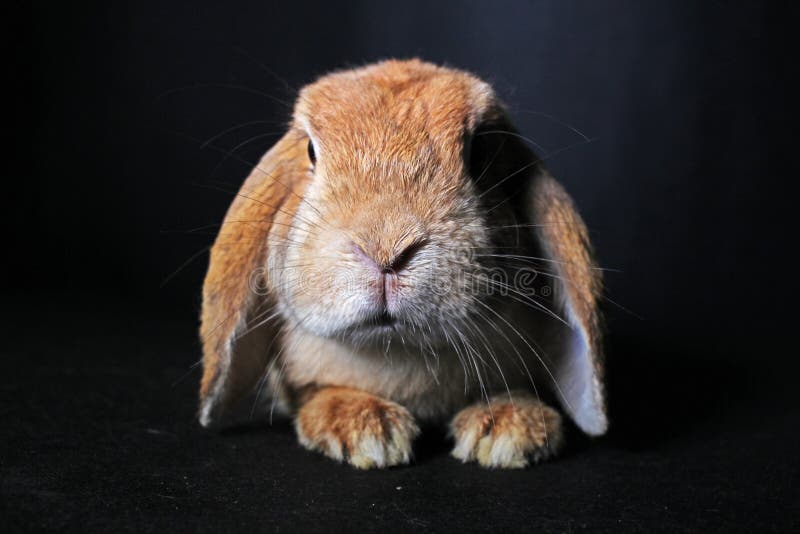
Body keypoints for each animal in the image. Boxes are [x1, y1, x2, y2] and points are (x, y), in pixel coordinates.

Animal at [198, 59, 607, 469]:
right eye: (311, 151)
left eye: (480, 151)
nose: (385, 248)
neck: (398, 349)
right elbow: (315, 391)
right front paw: (364, 430)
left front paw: (511, 429)